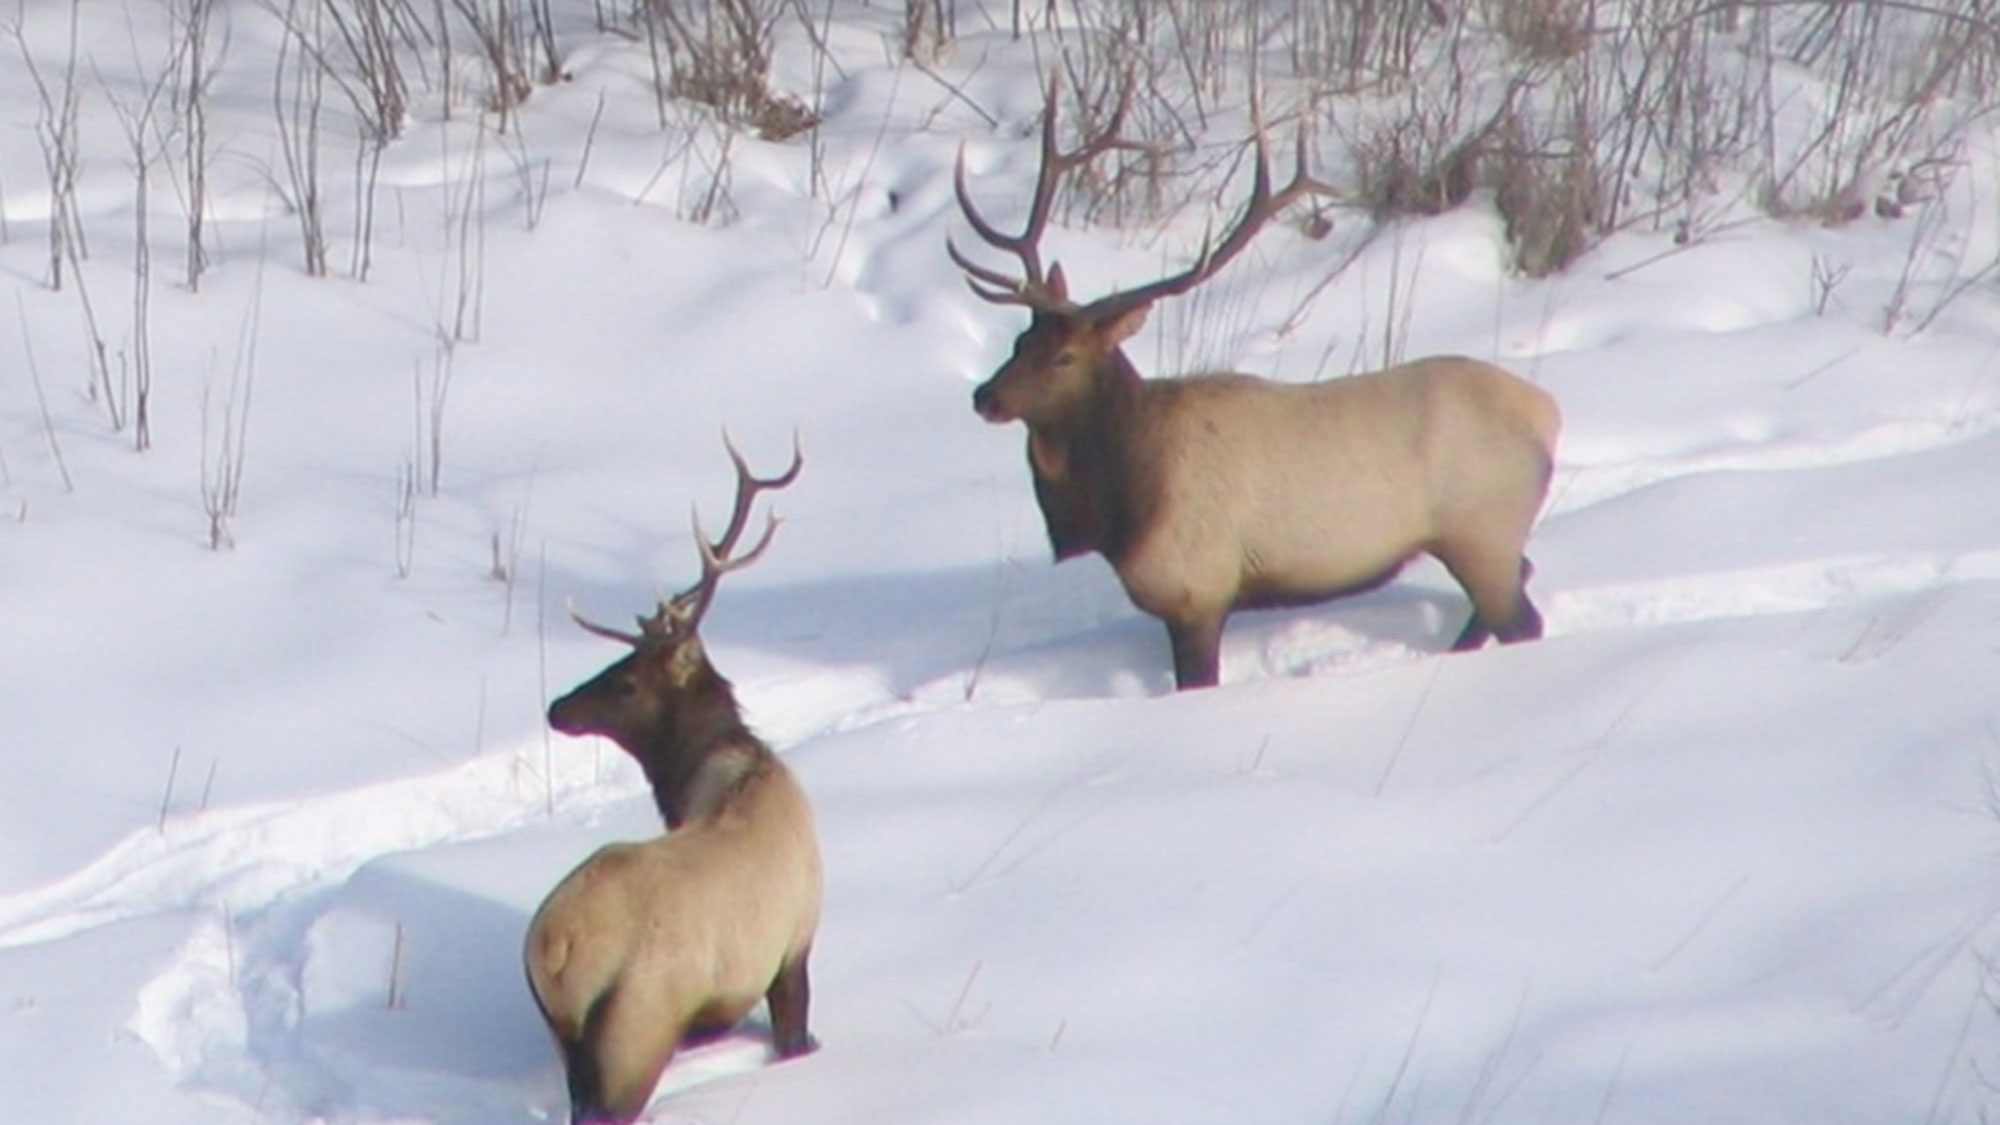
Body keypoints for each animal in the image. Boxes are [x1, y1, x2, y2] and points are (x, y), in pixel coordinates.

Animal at [526, 436, 821, 1125]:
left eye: (628, 678)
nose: (558, 708)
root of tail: (553, 948)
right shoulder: (794, 946)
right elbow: (795, 1039)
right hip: (638, 1029)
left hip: (569, 1044)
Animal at [950, 83, 1561, 690]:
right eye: (1020, 341)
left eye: (1065, 357)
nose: (985, 397)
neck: (1122, 508)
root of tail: (1547, 414)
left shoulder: (1197, 590)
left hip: (1481, 532)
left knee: (1522, 620)